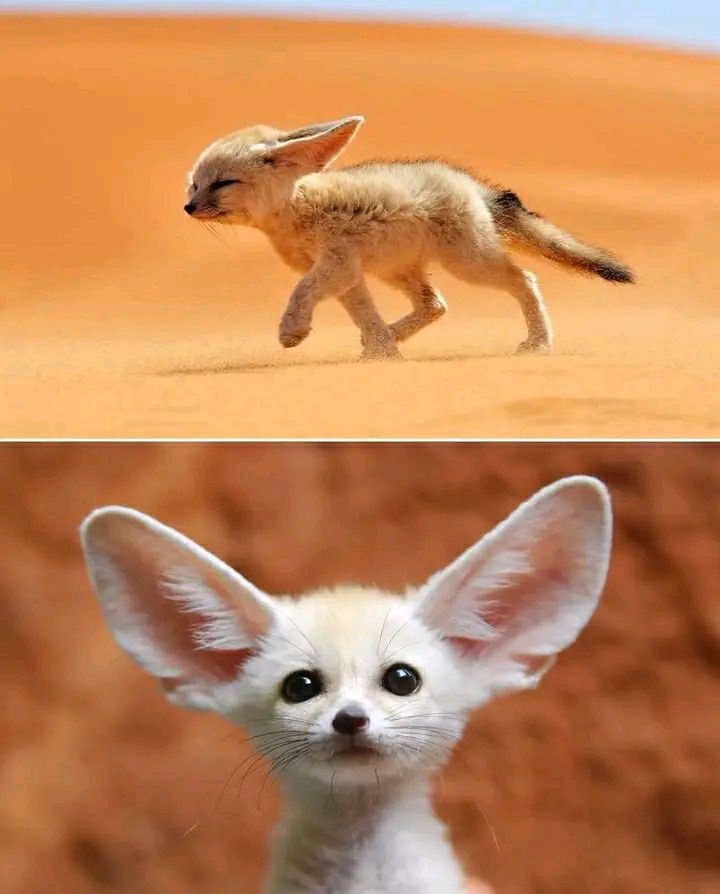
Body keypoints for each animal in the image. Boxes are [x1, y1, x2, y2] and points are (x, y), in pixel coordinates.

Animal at [184, 116, 634, 359]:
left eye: (223, 183)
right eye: (194, 185)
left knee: (525, 279)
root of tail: (470, 183)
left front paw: (292, 330)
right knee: (435, 305)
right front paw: (383, 352)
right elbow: (364, 314)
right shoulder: (348, 274)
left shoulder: (336, 264)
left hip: (468, 264)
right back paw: (389, 337)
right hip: (398, 270)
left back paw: (539, 342)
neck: (298, 209)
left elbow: (301, 292)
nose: (188, 208)